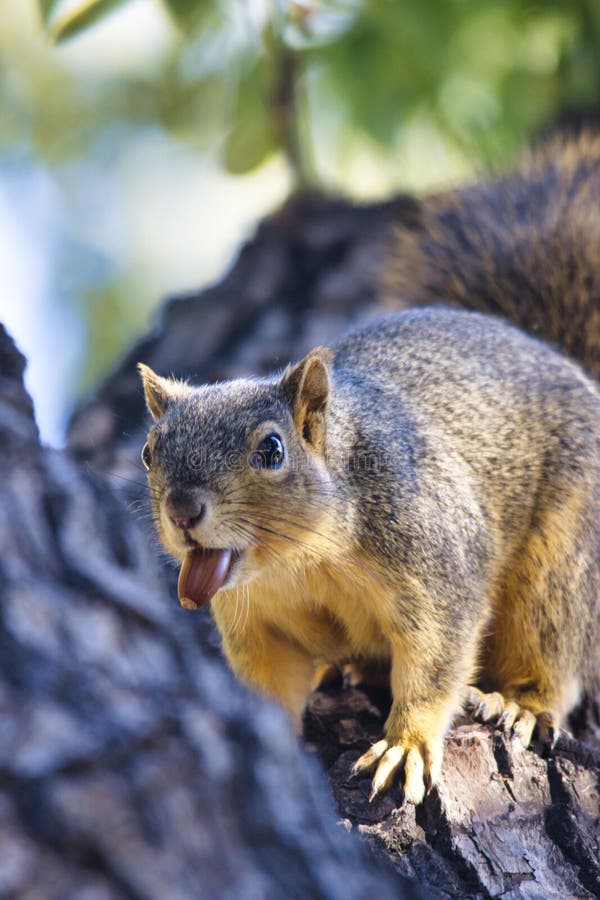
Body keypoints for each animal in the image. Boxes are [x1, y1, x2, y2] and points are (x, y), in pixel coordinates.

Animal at [138, 132, 600, 805]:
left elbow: (435, 662)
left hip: (564, 557)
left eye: (271, 450)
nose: (182, 510)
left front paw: (405, 744)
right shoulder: (256, 623)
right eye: (149, 452)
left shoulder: (436, 565)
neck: (298, 563)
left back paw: (520, 702)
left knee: (554, 647)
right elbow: (271, 684)